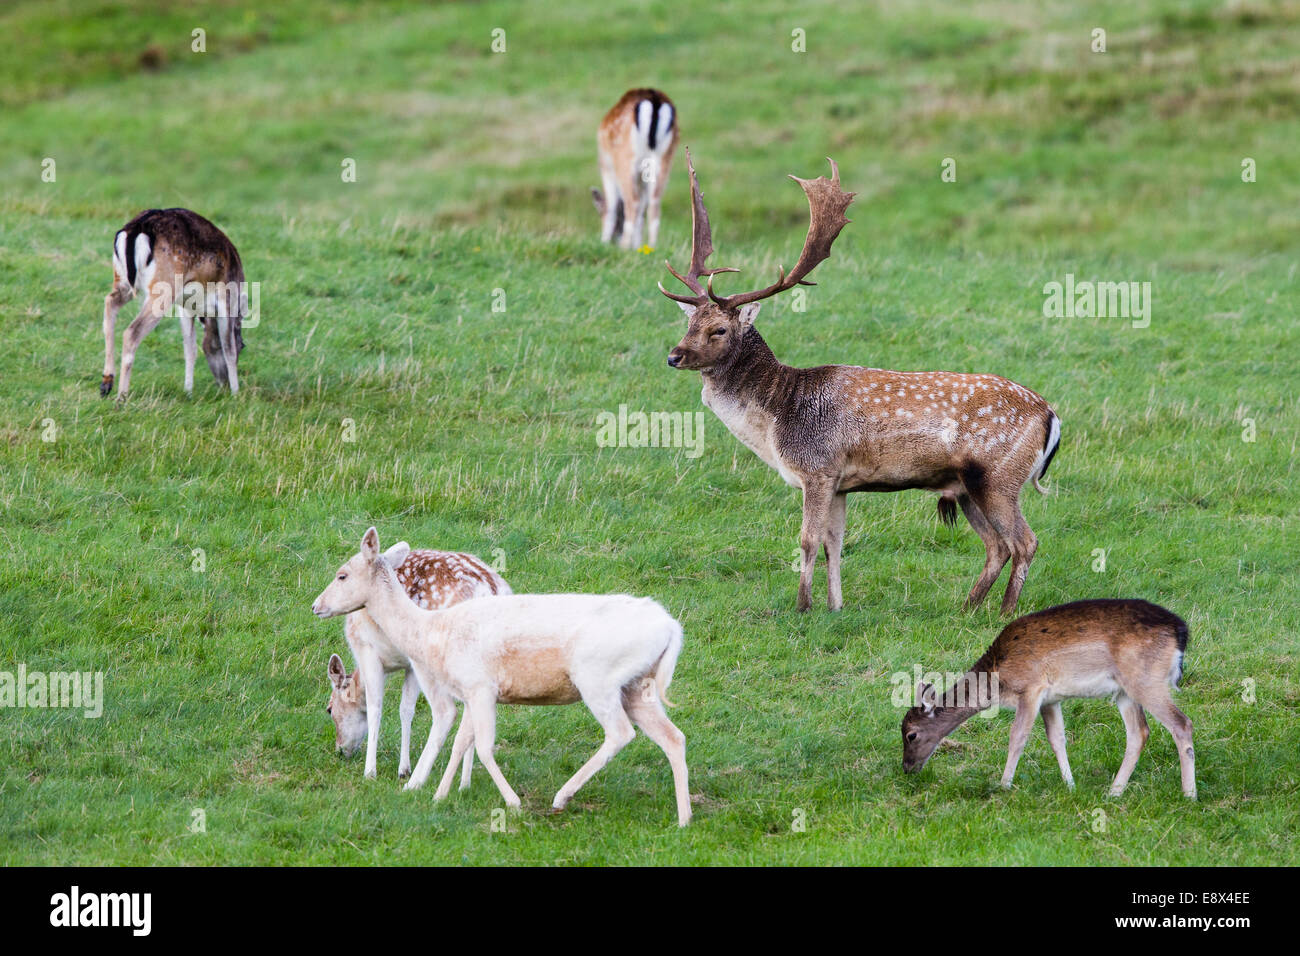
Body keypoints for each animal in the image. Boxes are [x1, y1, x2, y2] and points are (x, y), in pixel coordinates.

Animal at [101, 208, 248, 399]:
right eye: (243, 346)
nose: (223, 384)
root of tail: (136, 229)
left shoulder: (184, 307)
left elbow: (190, 349)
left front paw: (188, 392)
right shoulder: (227, 299)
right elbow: (228, 348)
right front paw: (236, 395)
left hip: (122, 279)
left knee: (110, 302)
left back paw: (106, 382)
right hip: (164, 287)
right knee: (132, 331)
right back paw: (121, 397)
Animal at [326, 546, 510, 783]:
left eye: (330, 709)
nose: (340, 750)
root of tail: (491, 588)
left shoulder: (368, 651)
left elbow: (376, 707)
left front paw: (372, 772)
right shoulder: (410, 665)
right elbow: (406, 709)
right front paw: (404, 769)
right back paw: (464, 783)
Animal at [591, 88, 678, 250]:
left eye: (600, 214)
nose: (614, 238)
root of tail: (655, 101)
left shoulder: (606, 167)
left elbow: (612, 205)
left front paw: (604, 241)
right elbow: (642, 210)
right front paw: (637, 246)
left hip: (625, 159)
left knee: (633, 202)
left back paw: (624, 247)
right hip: (665, 158)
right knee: (654, 202)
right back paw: (652, 246)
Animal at [659, 151, 1061, 614]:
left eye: (719, 330)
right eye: (689, 323)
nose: (673, 356)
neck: (778, 415)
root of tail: (1050, 415)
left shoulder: (817, 468)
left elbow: (808, 540)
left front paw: (802, 607)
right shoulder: (839, 481)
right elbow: (834, 543)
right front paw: (835, 607)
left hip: (998, 476)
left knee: (1024, 541)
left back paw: (1005, 611)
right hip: (965, 486)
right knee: (997, 545)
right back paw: (967, 608)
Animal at [901, 599, 1196, 799]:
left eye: (911, 735)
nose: (906, 767)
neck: (998, 677)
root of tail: (1181, 631)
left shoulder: (1031, 688)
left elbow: (1017, 736)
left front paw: (1004, 785)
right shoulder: (1051, 699)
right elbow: (1057, 739)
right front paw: (1070, 785)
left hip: (1145, 680)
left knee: (1181, 723)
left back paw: (1188, 795)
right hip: (1124, 691)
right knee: (1139, 732)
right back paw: (1113, 792)